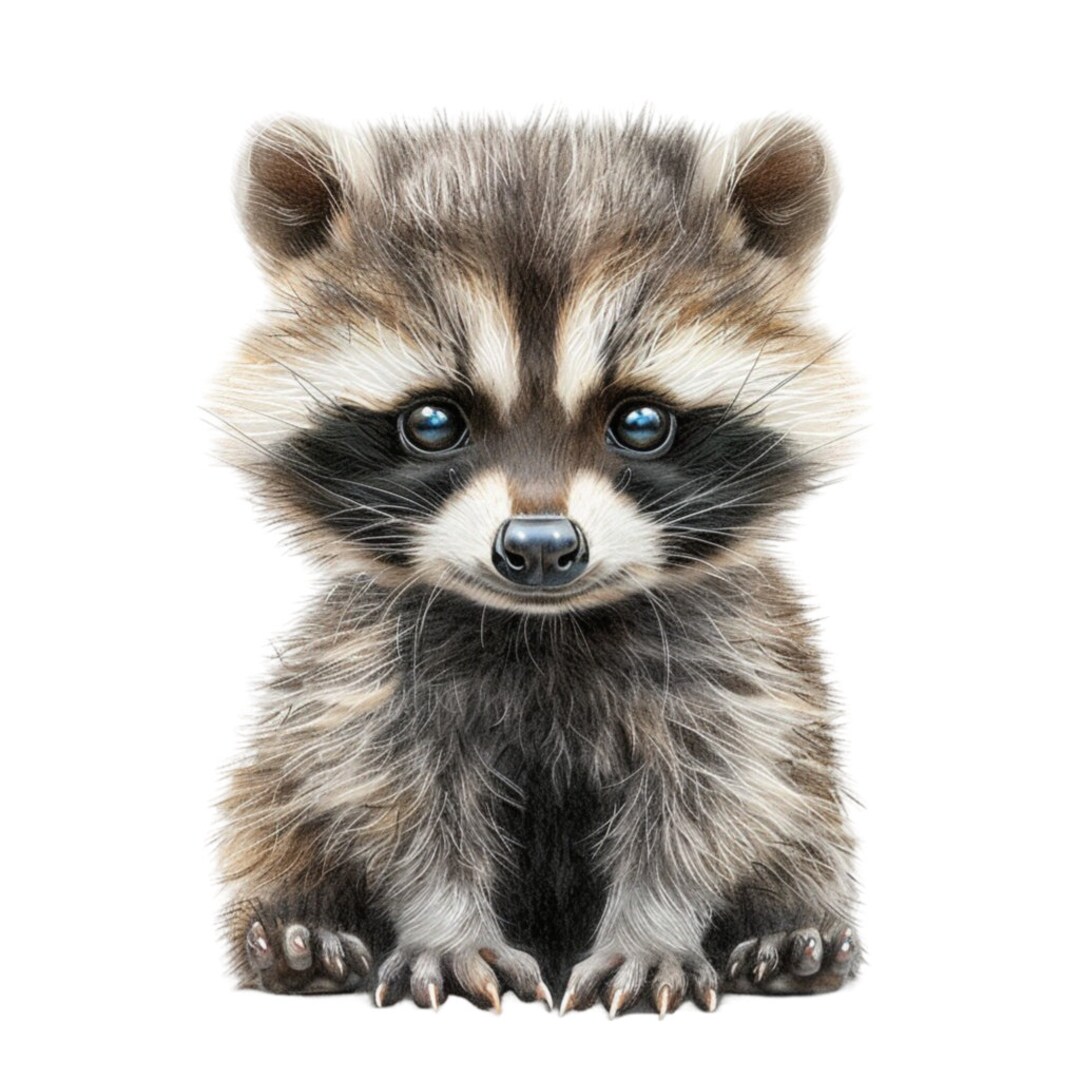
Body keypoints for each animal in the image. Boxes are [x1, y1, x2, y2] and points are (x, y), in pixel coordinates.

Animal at [214, 114, 860, 1017]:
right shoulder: (367, 672)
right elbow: (393, 797)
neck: (543, 627)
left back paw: (790, 931)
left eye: (641, 421)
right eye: (434, 421)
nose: (541, 546)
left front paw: (653, 929)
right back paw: (299, 930)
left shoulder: (734, 666)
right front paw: (447, 926)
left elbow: (711, 798)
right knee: (276, 800)